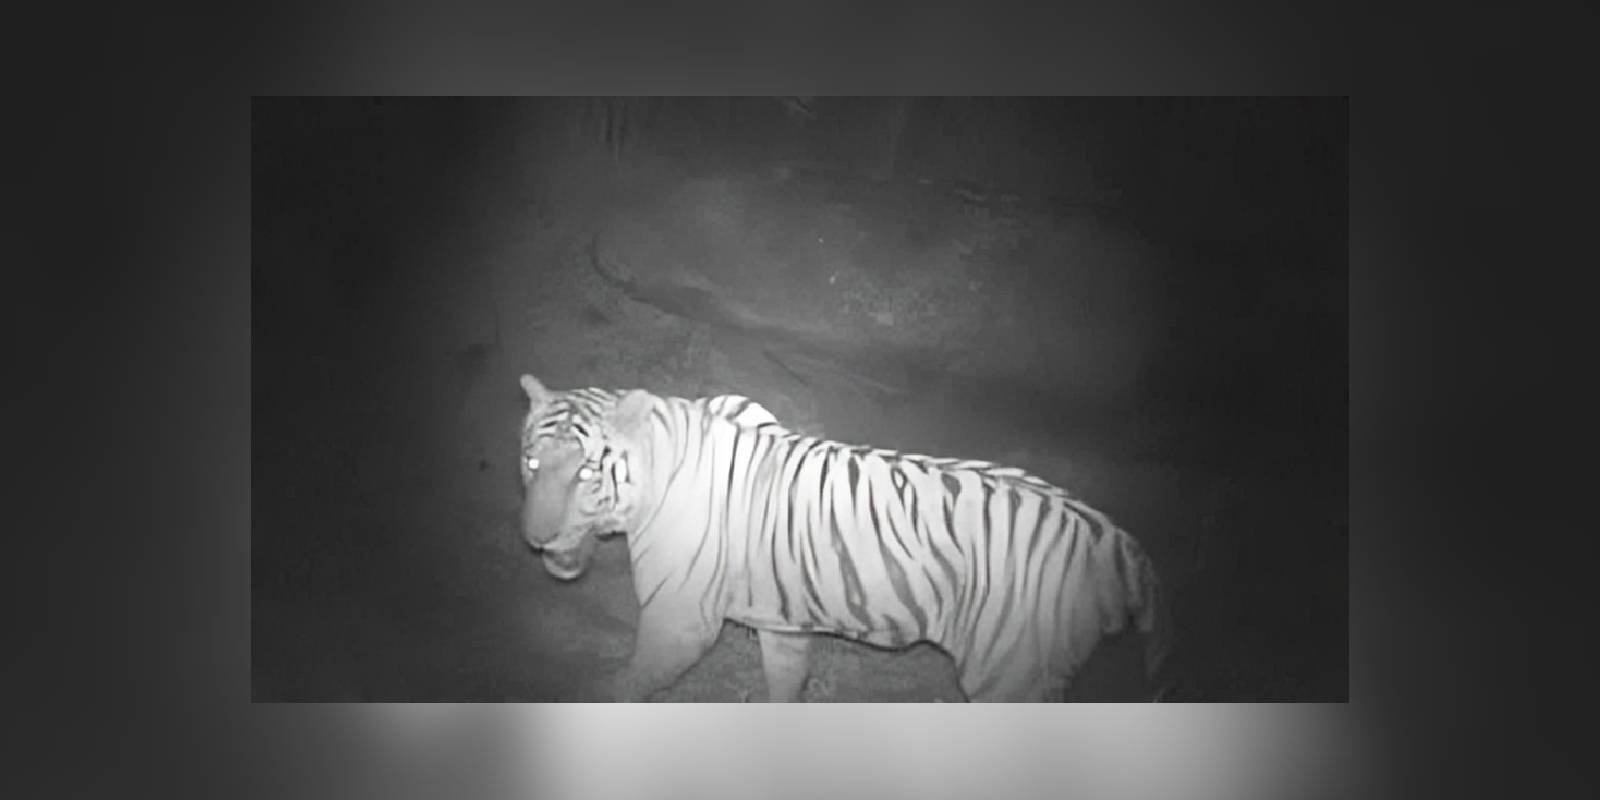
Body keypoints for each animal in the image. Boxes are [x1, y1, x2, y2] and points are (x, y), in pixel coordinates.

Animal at [517, 373, 1171, 701]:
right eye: (530, 463)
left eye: (585, 473)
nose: (535, 538)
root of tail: (1110, 535)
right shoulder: (782, 625)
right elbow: (785, 684)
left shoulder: (679, 622)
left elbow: (625, 685)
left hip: (1009, 674)